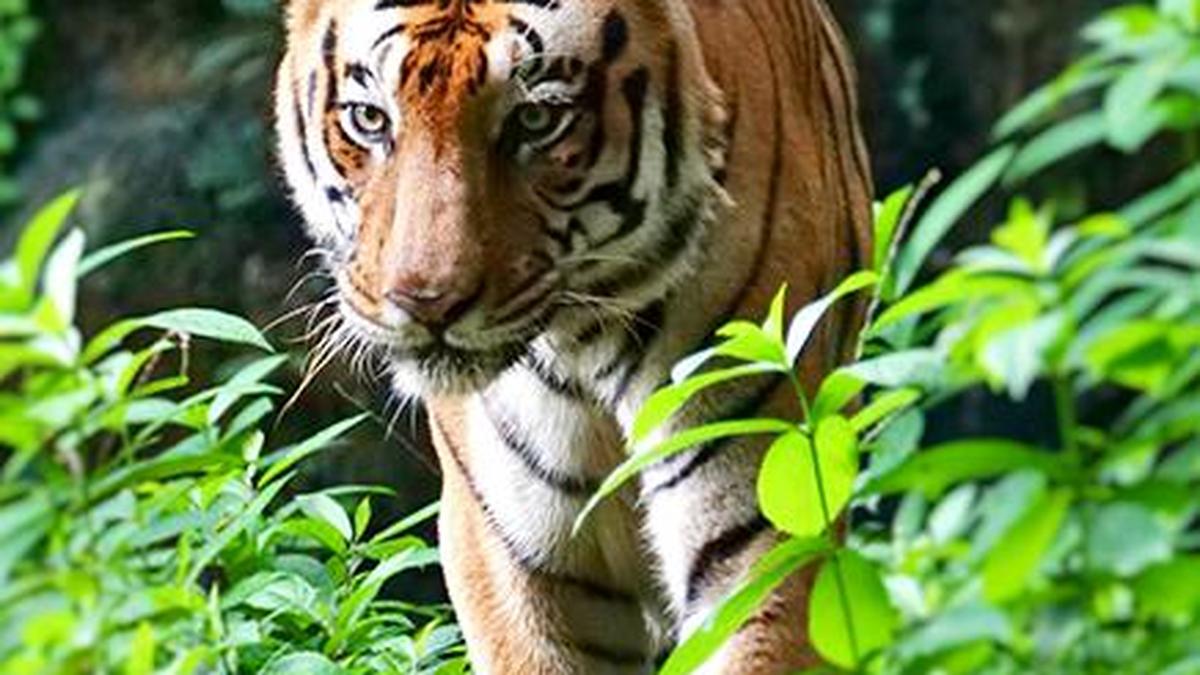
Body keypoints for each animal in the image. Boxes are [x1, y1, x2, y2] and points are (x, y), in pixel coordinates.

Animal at [274, 0, 871, 671]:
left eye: (535, 119)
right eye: (369, 119)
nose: (426, 303)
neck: (587, 339)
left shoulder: (767, 517)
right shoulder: (508, 552)